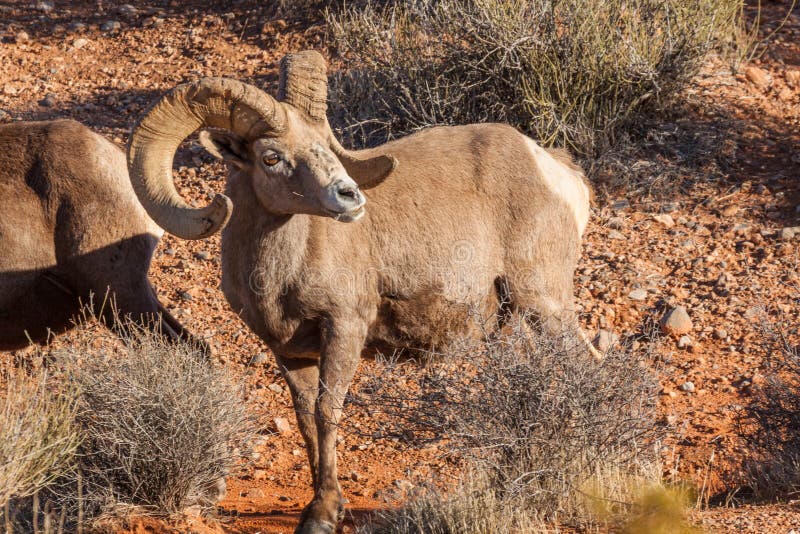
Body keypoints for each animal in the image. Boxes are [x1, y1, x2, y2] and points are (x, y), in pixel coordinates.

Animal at [127, 50, 596, 534]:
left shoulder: (344, 327)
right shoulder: (289, 351)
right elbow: (304, 419)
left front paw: (323, 514)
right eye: (271, 157)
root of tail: (558, 171)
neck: (279, 273)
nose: (349, 196)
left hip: (544, 301)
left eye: (325, 144)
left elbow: (327, 412)